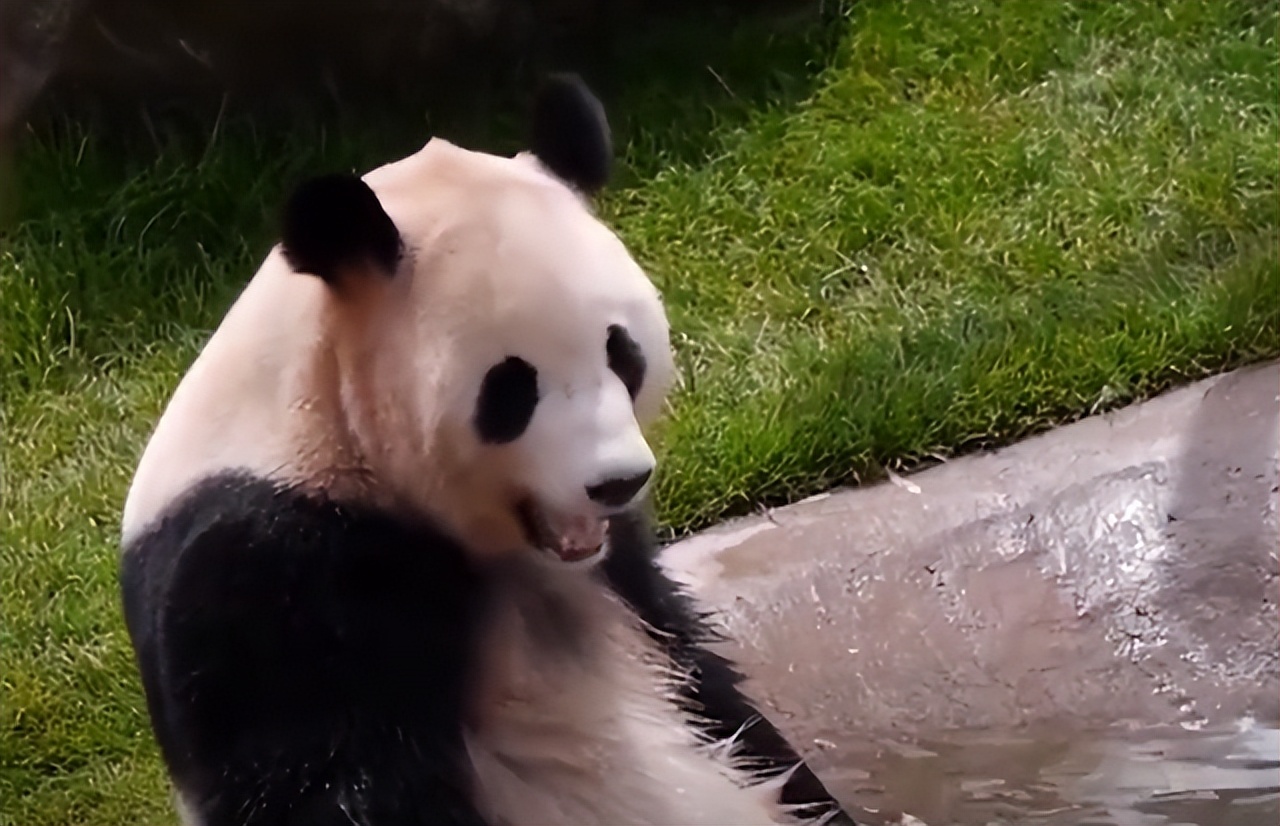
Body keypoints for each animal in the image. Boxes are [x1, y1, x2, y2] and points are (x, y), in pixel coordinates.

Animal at [119, 74, 855, 826]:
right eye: (511, 388)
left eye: (622, 353)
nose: (618, 482)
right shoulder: (268, 575)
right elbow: (329, 779)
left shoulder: (619, 574)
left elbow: (705, 682)